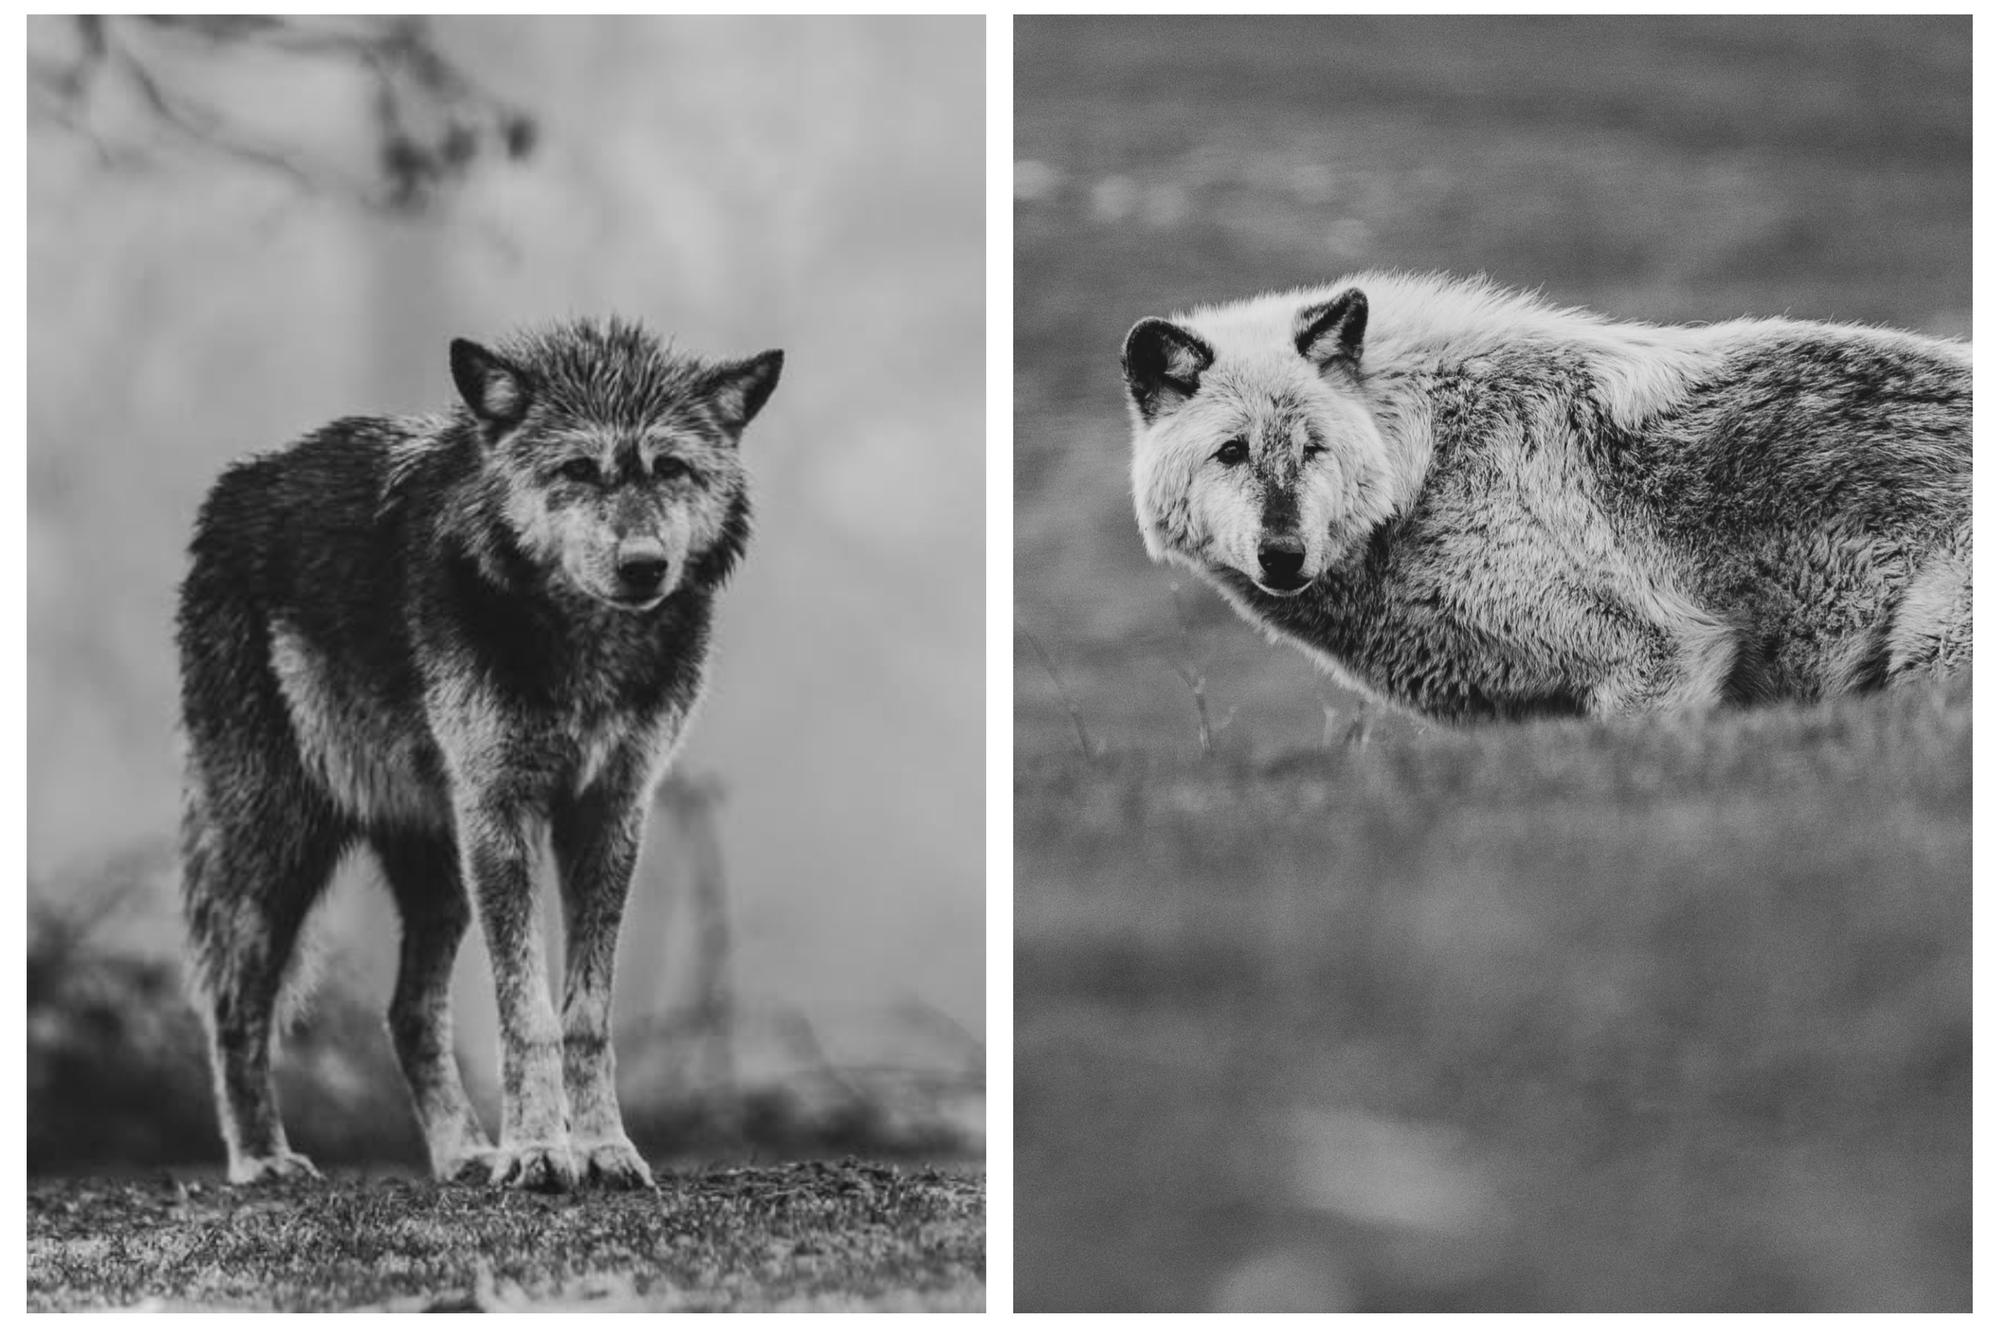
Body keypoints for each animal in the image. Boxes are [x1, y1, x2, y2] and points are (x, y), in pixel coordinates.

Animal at [178, 318, 781, 1190]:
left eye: (670, 468)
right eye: (578, 470)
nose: (644, 566)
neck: (585, 646)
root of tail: (235, 488)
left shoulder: (611, 814)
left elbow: (585, 1014)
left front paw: (603, 1147)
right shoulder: (505, 811)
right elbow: (526, 1011)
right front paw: (538, 1152)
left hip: (441, 867)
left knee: (406, 1012)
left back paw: (463, 1153)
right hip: (279, 847)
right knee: (233, 999)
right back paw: (262, 1158)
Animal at [1122, 272, 1970, 723]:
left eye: (1312, 449)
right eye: (1232, 452)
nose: (1283, 553)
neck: (1426, 468)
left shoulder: (1660, 660)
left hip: (1932, 660)